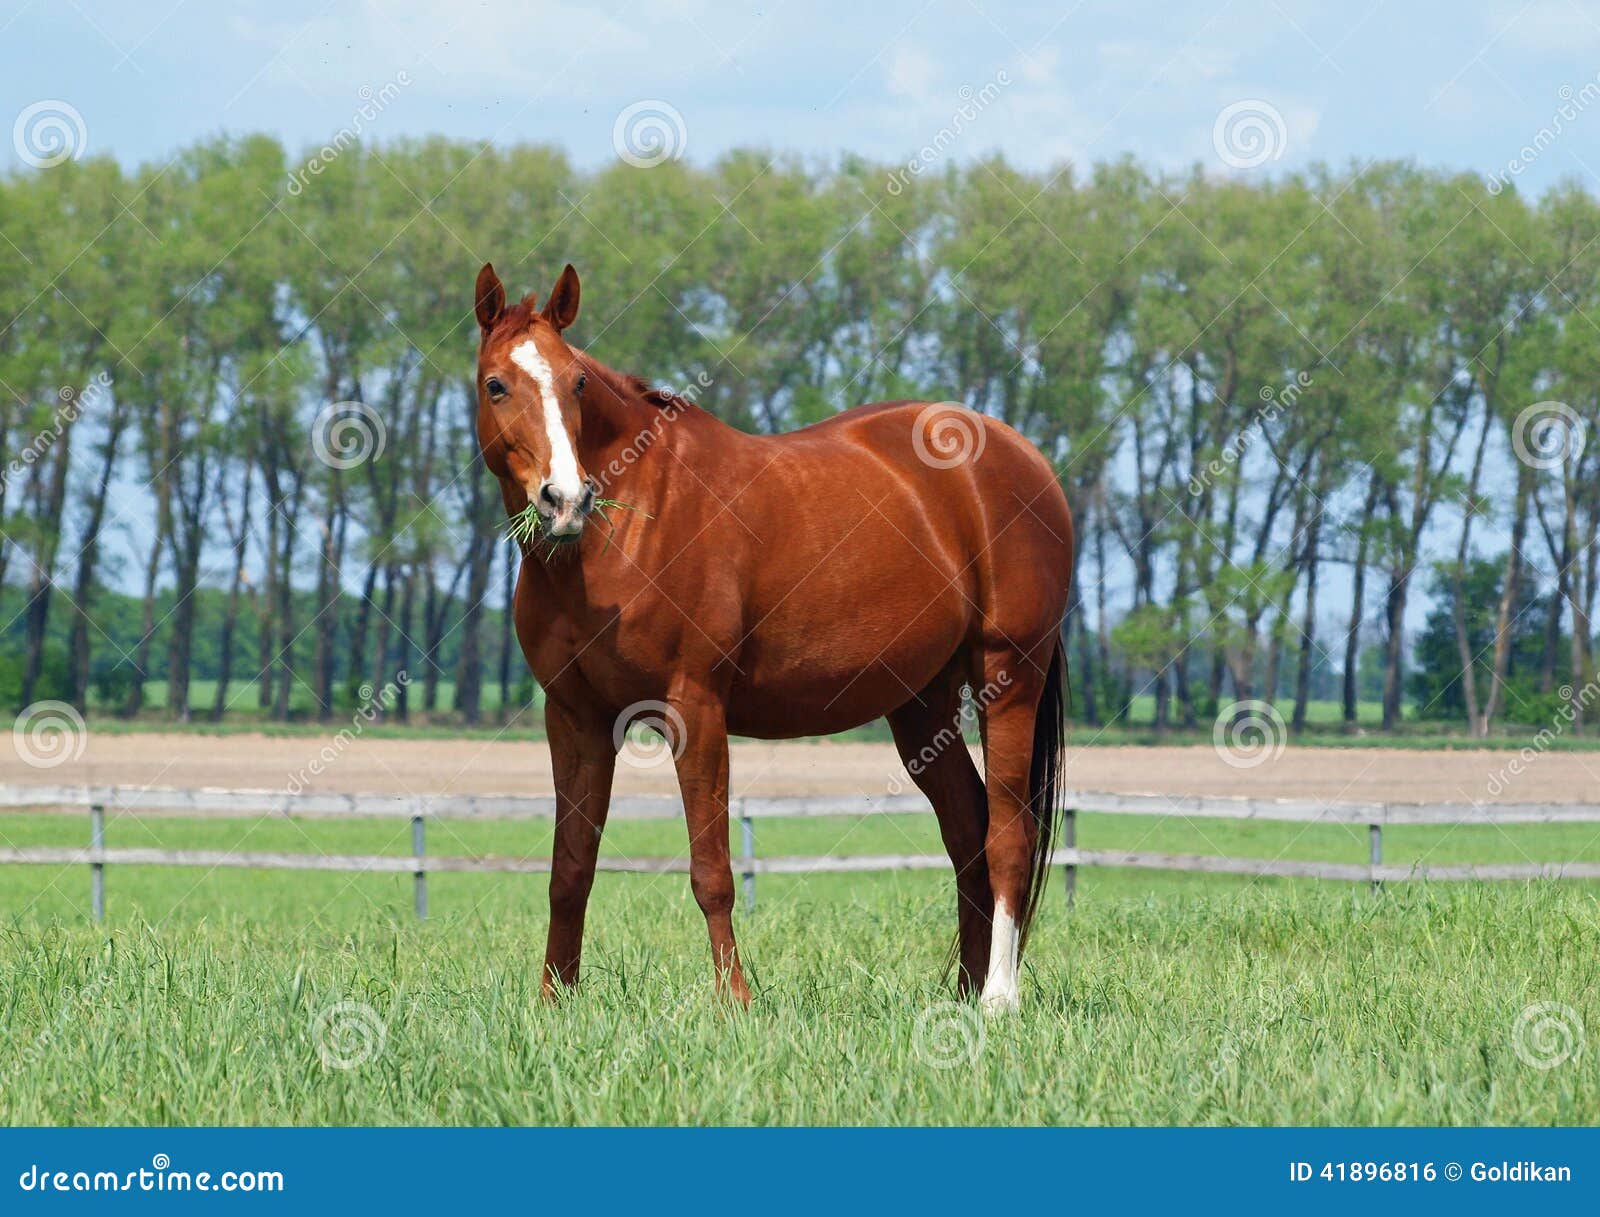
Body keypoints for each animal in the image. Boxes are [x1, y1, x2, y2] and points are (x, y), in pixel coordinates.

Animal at [473, 261, 1073, 1012]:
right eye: (497, 384)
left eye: (576, 381)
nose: (566, 500)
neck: (633, 516)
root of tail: (1023, 459)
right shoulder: (576, 716)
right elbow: (571, 867)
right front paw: (556, 1001)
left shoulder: (695, 708)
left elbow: (712, 872)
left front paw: (735, 1001)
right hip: (920, 705)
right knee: (966, 832)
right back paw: (960, 994)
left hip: (1008, 678)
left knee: (1008, 834)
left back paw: (996, 999)